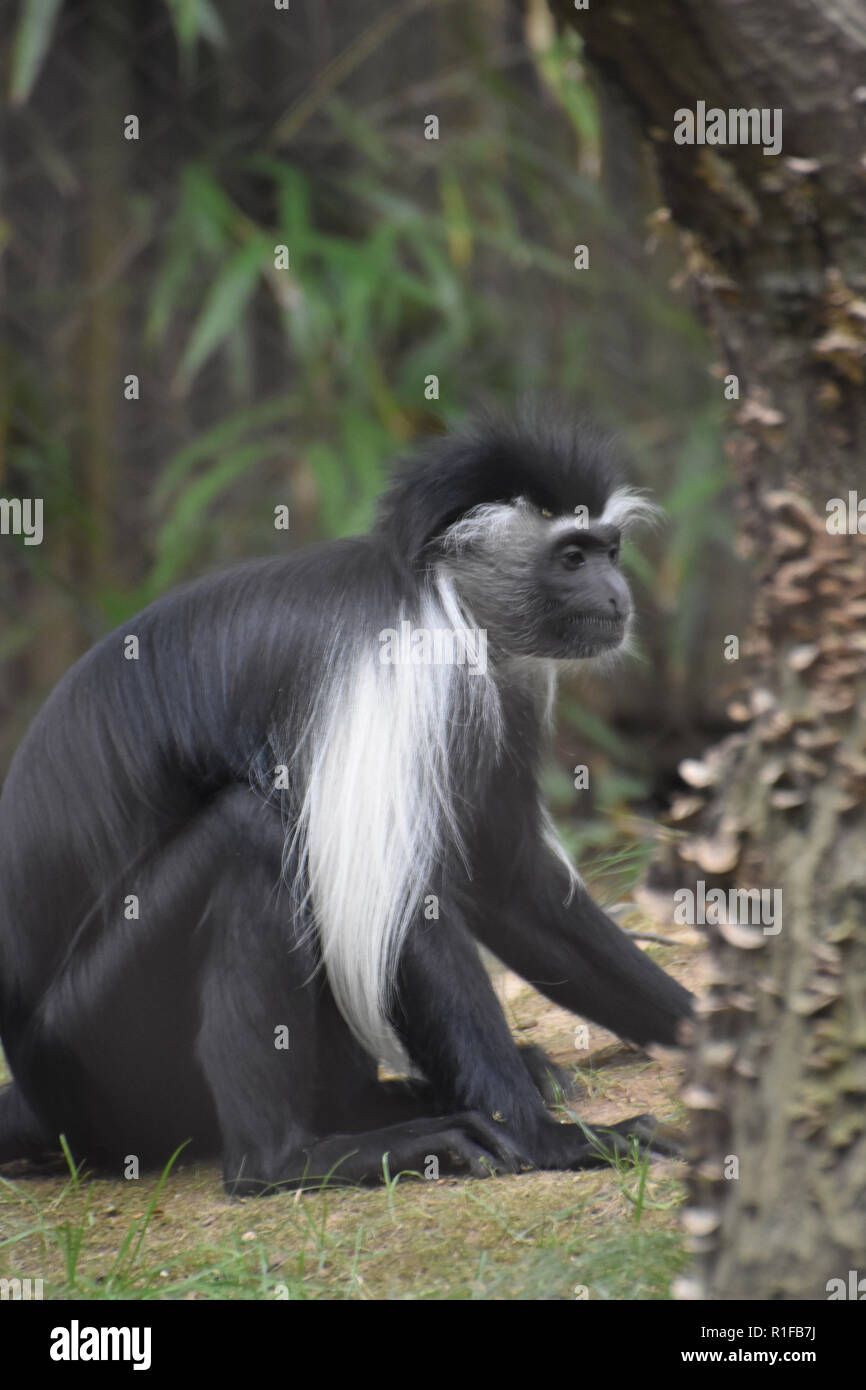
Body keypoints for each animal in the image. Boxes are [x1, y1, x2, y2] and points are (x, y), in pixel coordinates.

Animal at [0, 406, 693, 1194]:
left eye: (610, 549)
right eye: (573, 557)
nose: (617, 595)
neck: (441, 596)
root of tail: (34, 1083)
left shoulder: (503, 685)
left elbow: (512, 882)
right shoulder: (397, 673)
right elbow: (404, 905)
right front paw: (553, 1142)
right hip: (103, 1046)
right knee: (248, 838)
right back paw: (296, 1158)